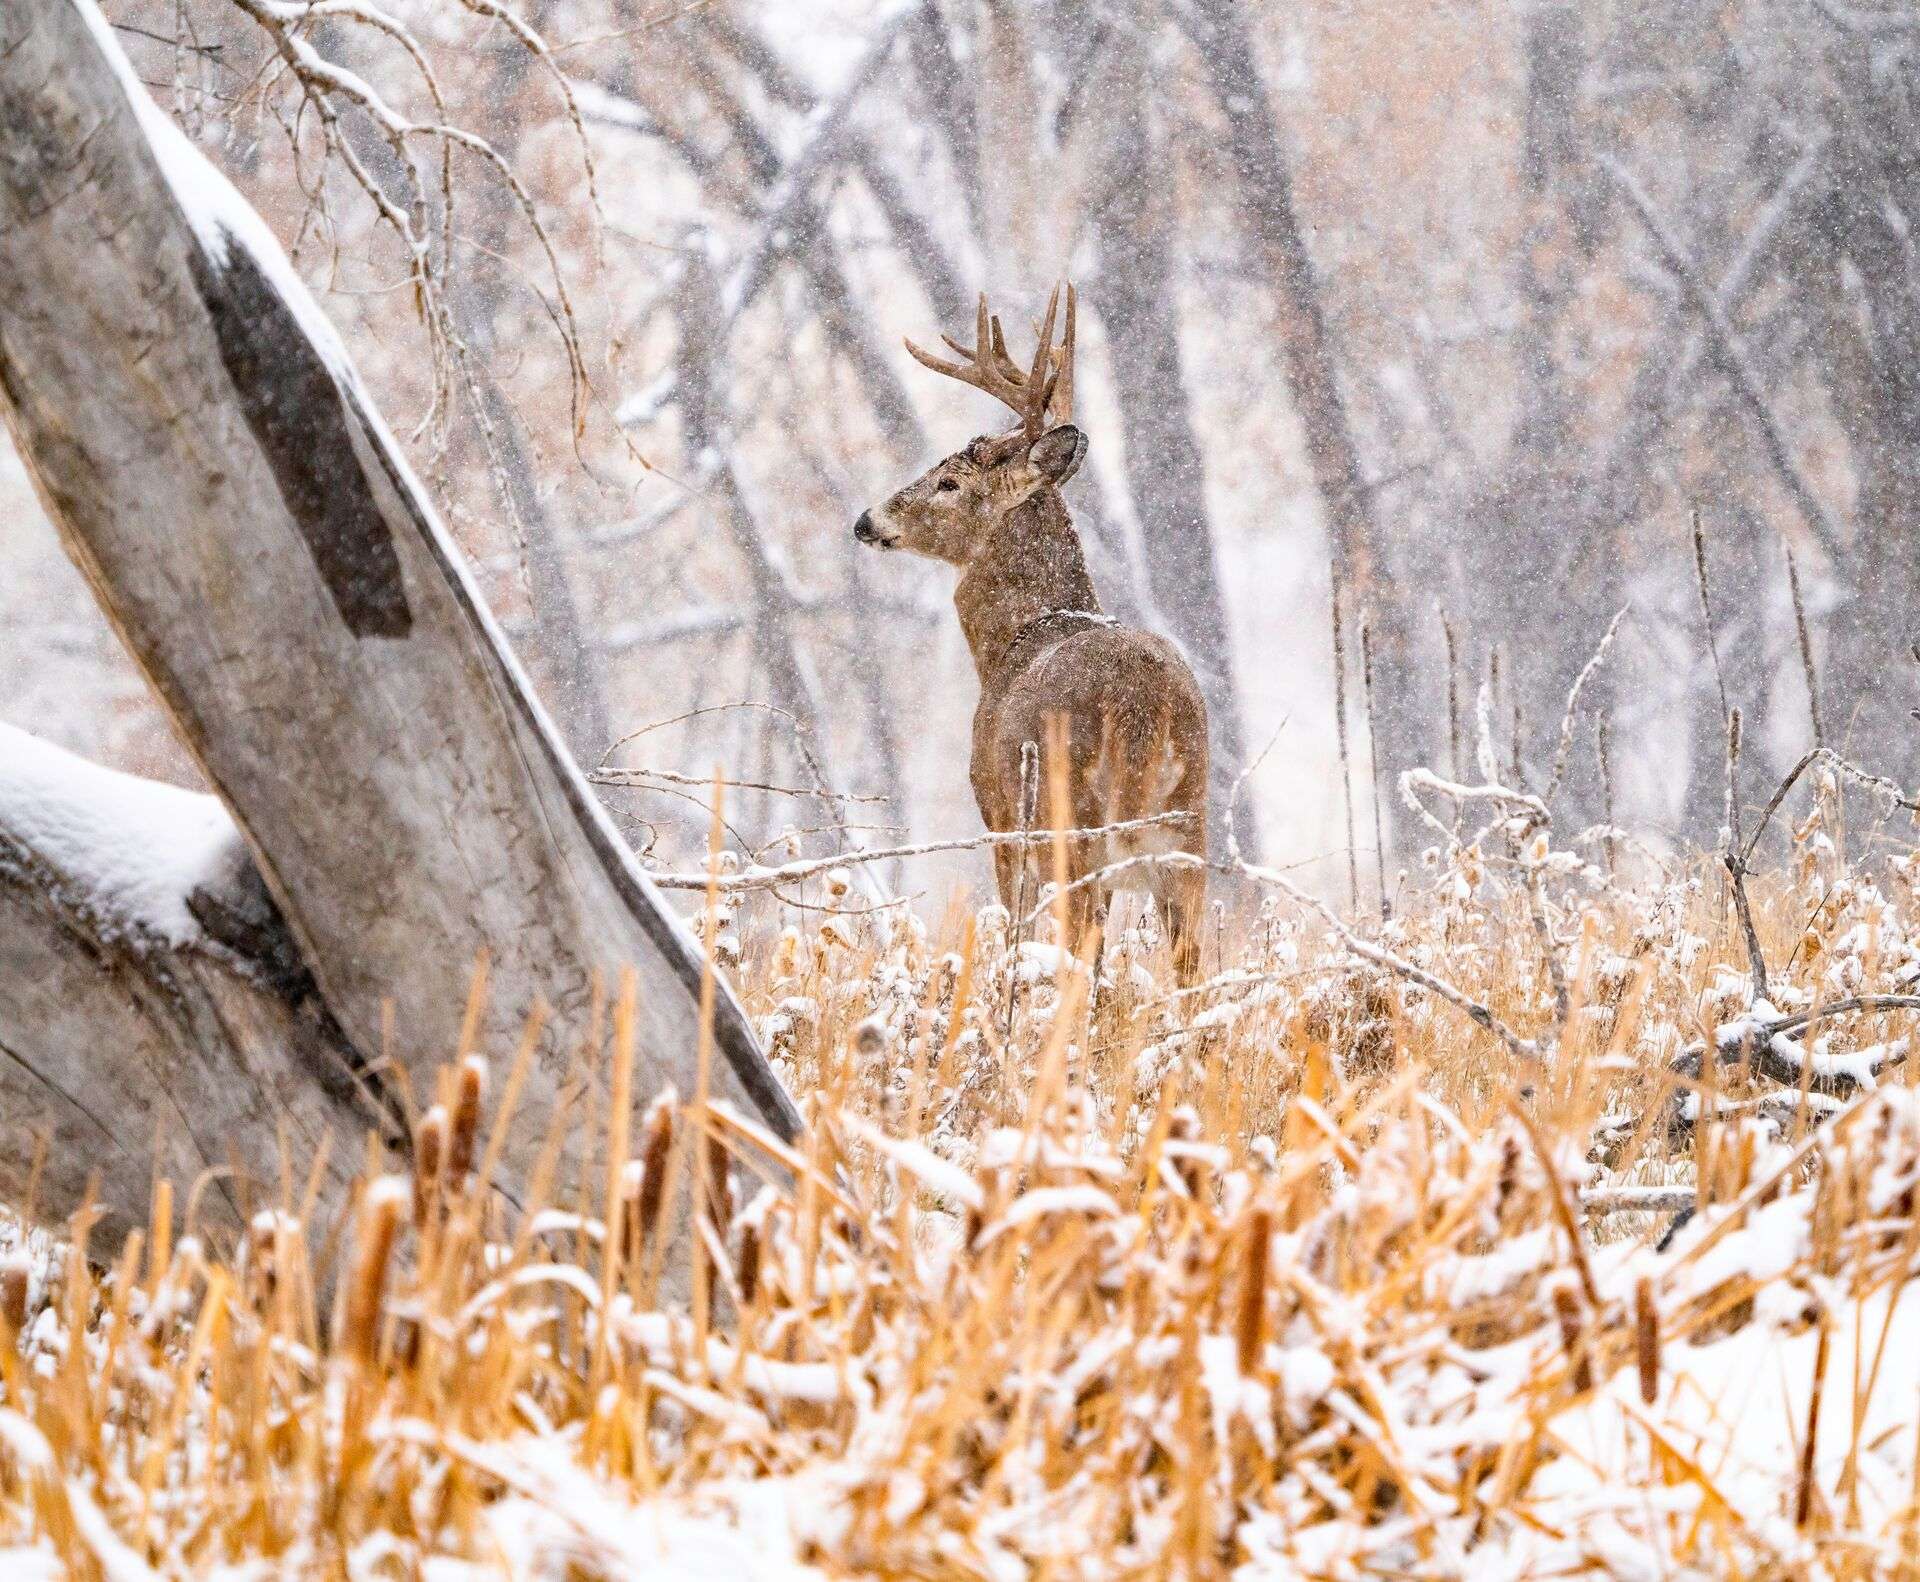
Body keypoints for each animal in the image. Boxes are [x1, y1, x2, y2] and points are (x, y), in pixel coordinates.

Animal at [854, 284, 1209, 983]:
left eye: (950, 481)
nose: (866, 520)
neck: (1014, 641)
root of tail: (1145, 708)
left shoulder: (995, 812)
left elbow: (1013, 929)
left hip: (1070, 823)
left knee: (1083, 953)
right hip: (1188, 834)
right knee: (1193, 967)